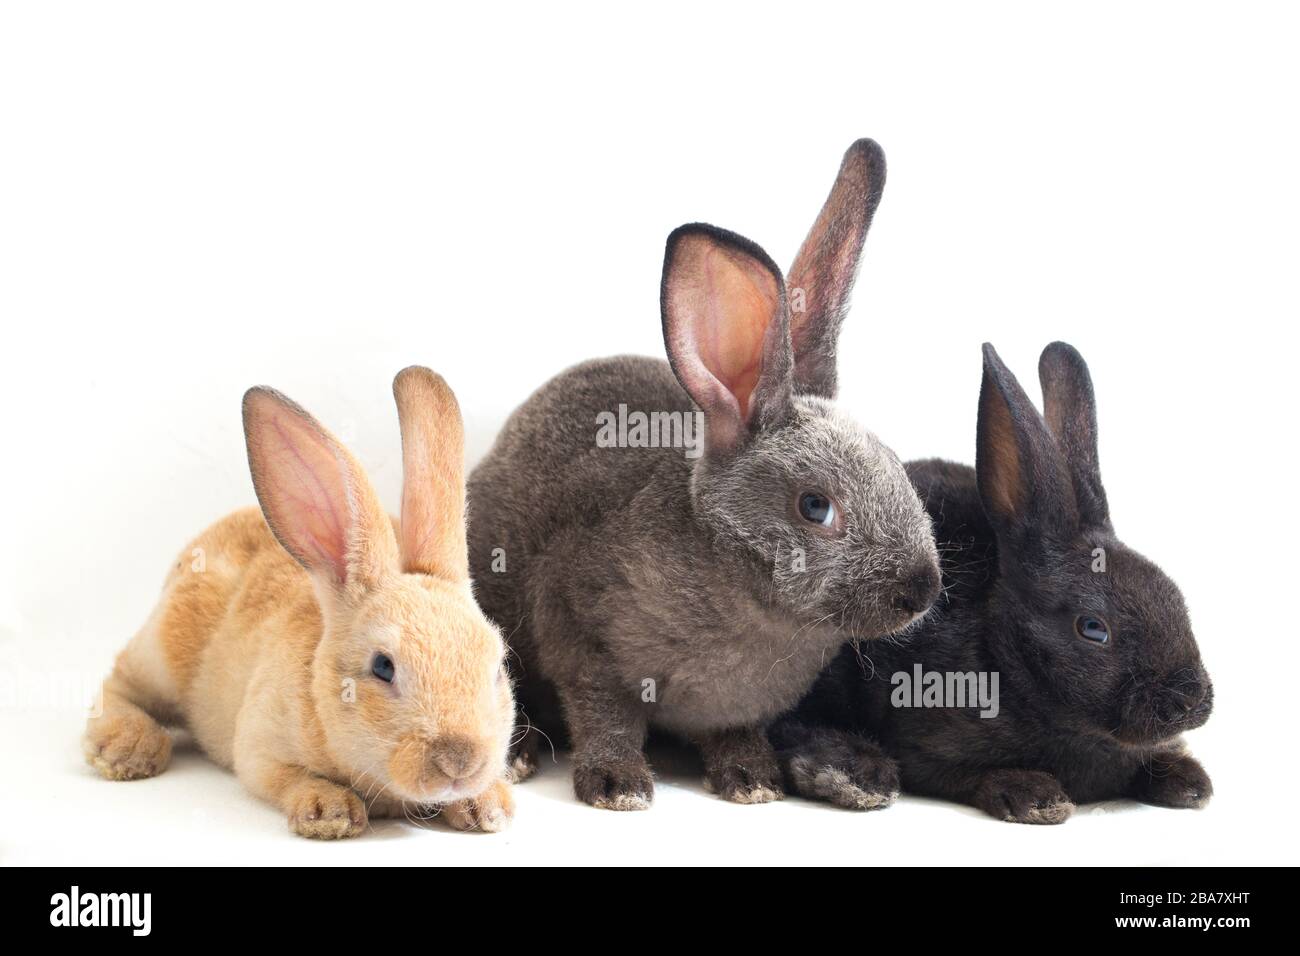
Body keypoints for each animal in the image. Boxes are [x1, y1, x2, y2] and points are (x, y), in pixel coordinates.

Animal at [83, 367, 517, 838]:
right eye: (383, 667)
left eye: (497, 667)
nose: (460, 760)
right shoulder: (258, 749)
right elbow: (282, 776)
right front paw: (330, 812)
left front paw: (488, 808)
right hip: (161, 654)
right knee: (118, 683)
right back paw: (128, 748)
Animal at [467, 139, 941, 810]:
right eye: (815, 506)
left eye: (897, 467)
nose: (921, 590)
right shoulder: (582, 642)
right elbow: (604, 716)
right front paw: (618, 785)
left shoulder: (736, 711)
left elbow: (733, 732)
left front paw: (753, 779)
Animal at [771, 342, 1213, 822]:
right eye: (1093, 628)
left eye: (1175, 595)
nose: (1190, 700)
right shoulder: (927, 744)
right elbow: (963, 774)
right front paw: (1035, 795)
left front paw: (1191, 782)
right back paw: (852, 772)